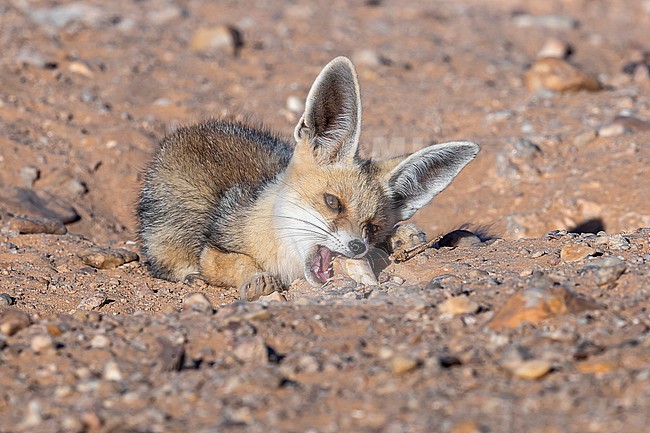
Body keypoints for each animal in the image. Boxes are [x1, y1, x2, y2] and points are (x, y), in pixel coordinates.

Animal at [138, 56, 479, 300]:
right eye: (332, 202)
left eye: (371, 226)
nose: (357, 246)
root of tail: (197, 127)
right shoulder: (214, 247)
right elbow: (237, 263)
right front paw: (257, 280)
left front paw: (397, 237)